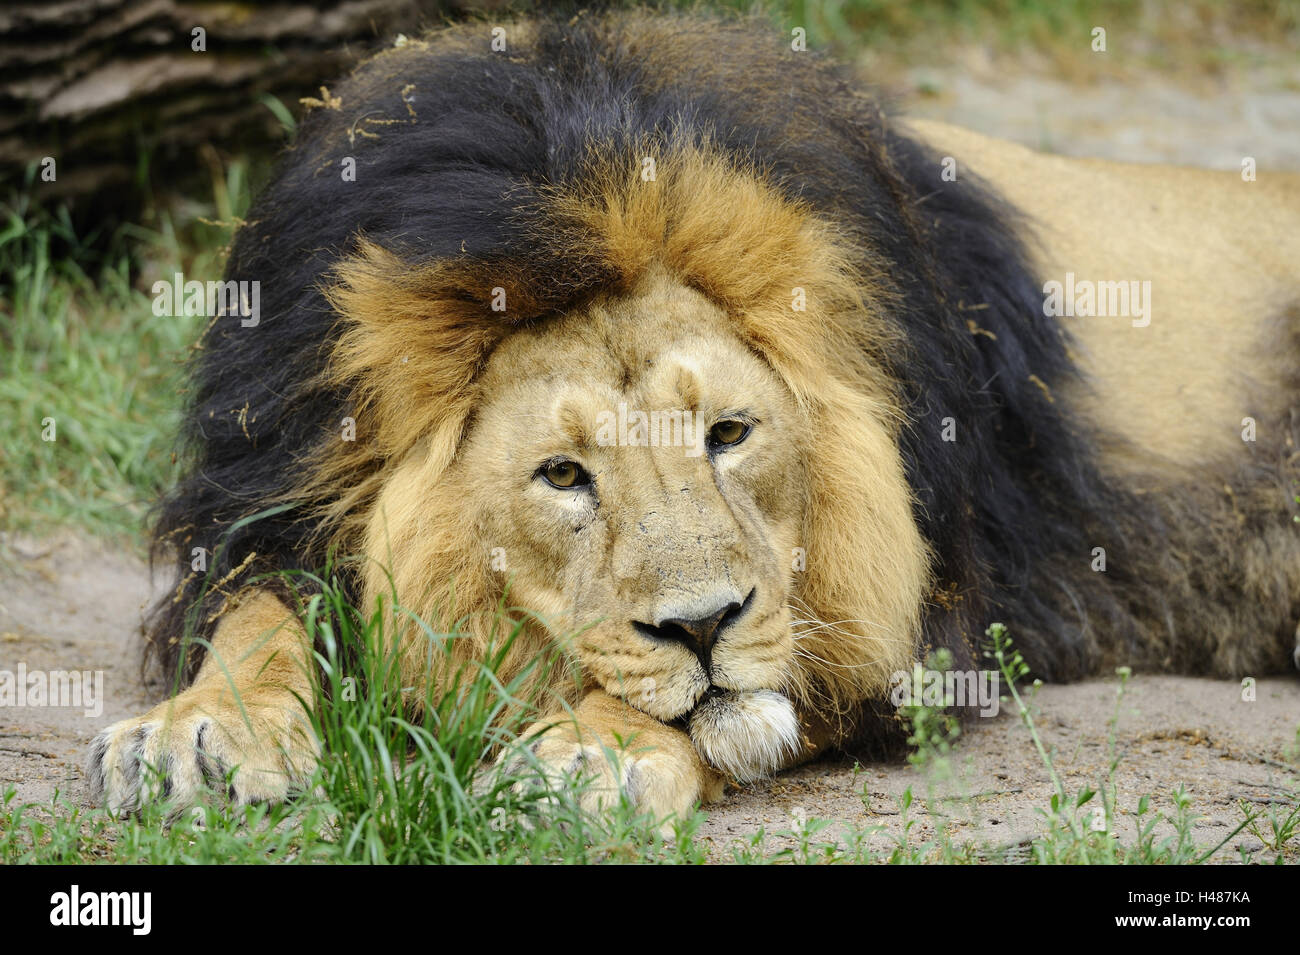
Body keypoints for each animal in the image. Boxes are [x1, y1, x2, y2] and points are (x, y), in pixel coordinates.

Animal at [86, 10, 1300, 821]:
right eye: (563, 475)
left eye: (729, 434)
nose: (705, 625)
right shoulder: (273, 492)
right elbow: (258, 615)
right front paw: (193, 732)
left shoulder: (920, 624)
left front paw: (591, 755)